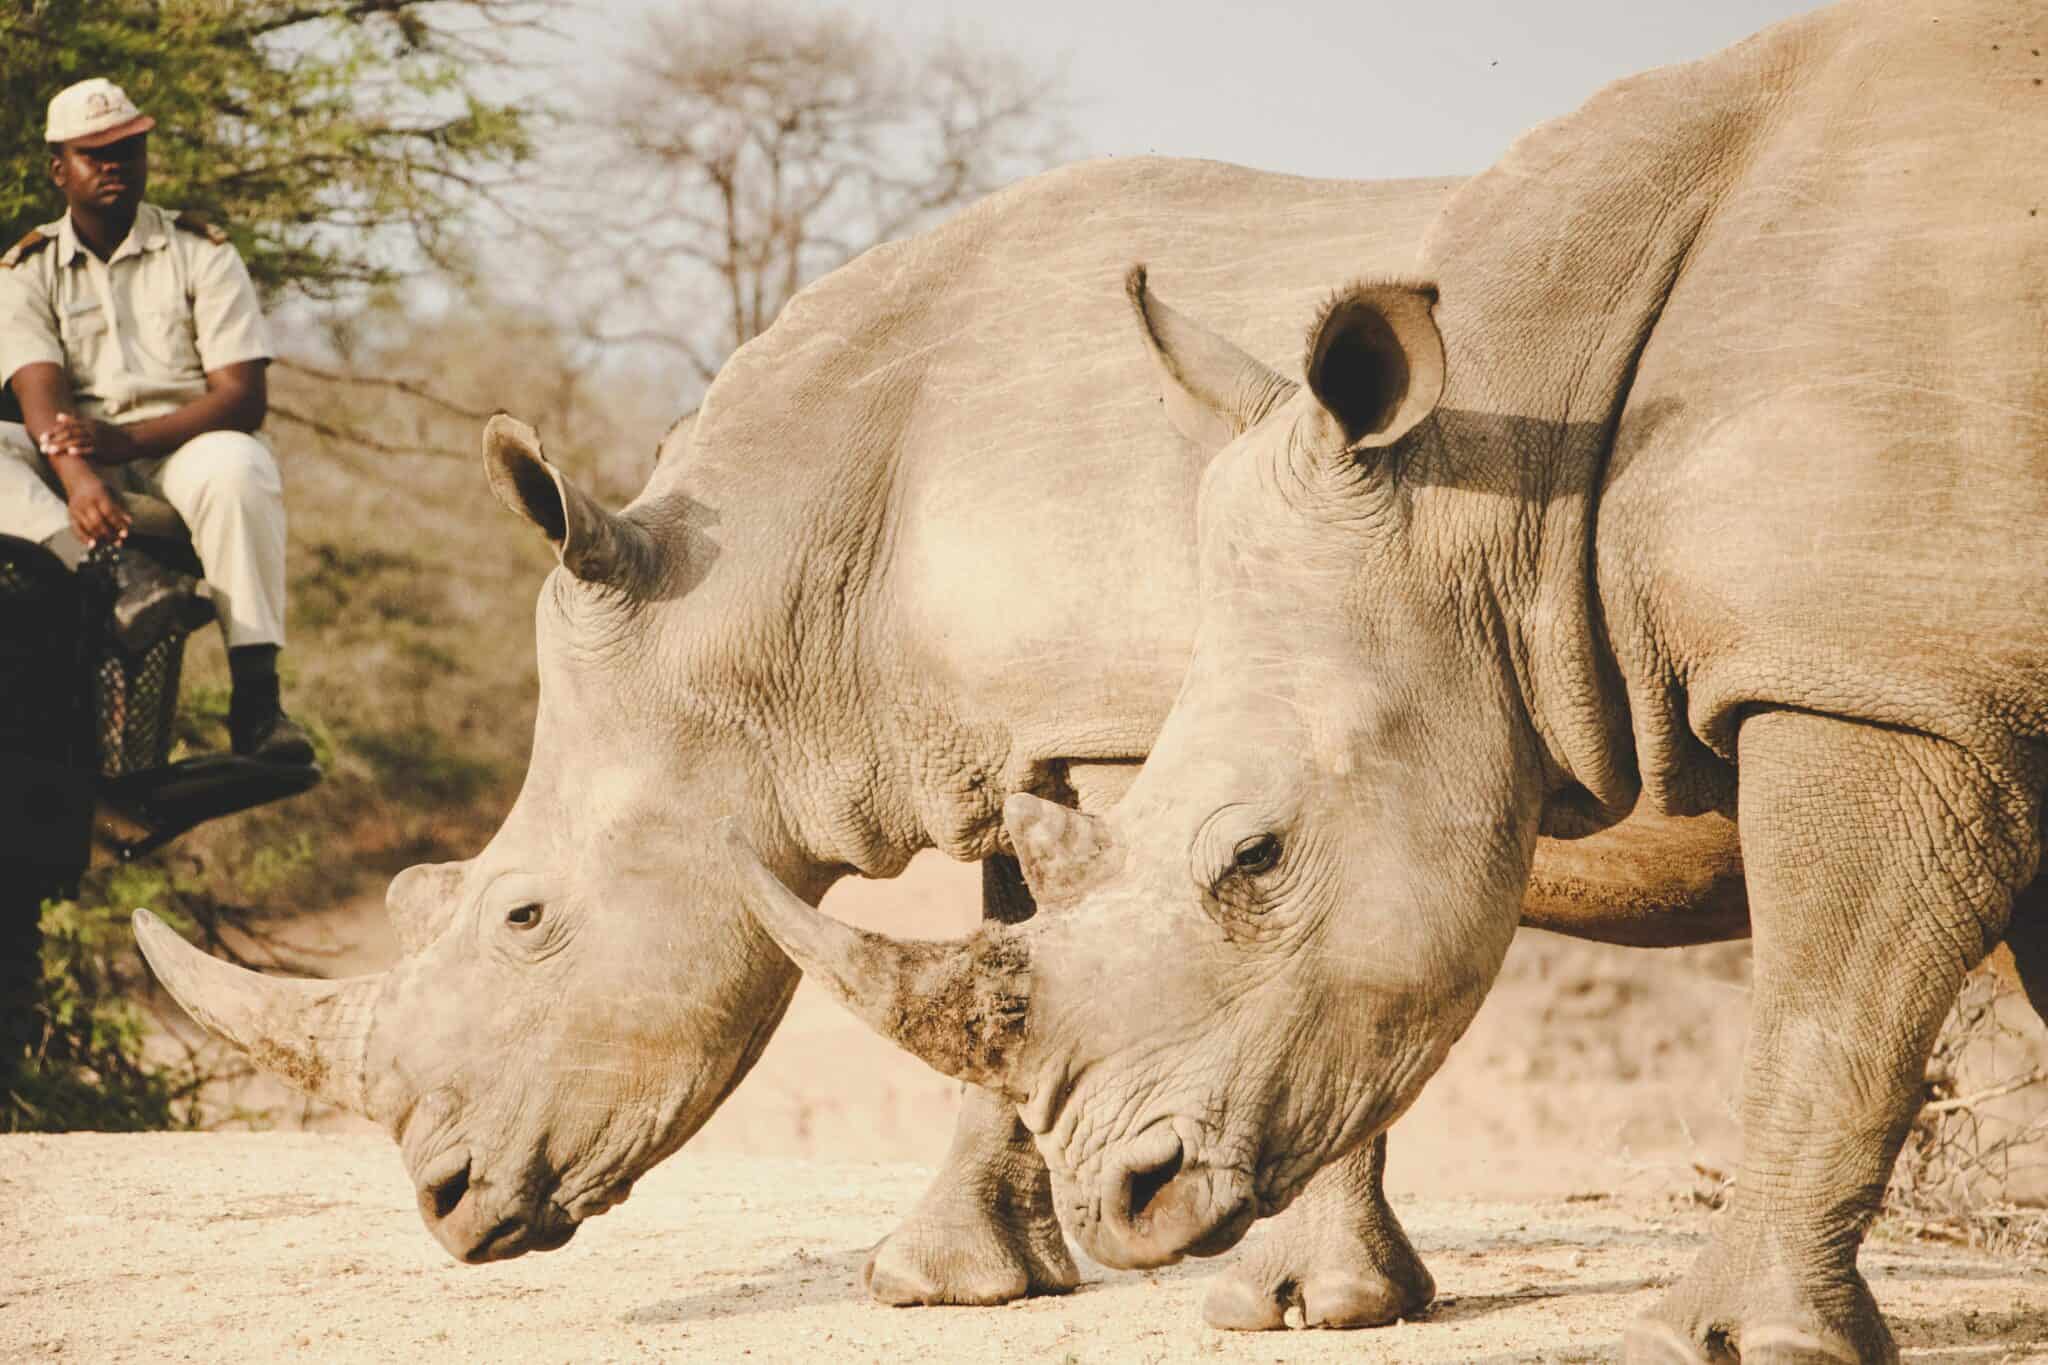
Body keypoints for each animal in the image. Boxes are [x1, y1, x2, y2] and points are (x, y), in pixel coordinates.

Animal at [134, 156, 1743, 1329]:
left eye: (523, 918)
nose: (445, 1203)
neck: (779, 596)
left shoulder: (1201, 716)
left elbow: (1282, 939)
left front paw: (1301, 1303)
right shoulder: (1037, 731)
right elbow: (1022, 948)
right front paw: (948, 1284)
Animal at [738, 2, 2048, 1358]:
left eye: (1256, 856)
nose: (1122, 1202)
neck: (1515, 472)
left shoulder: (1873, 681)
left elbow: (1828, 1010)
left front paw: (1728, 1342)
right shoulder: (1969, 681)